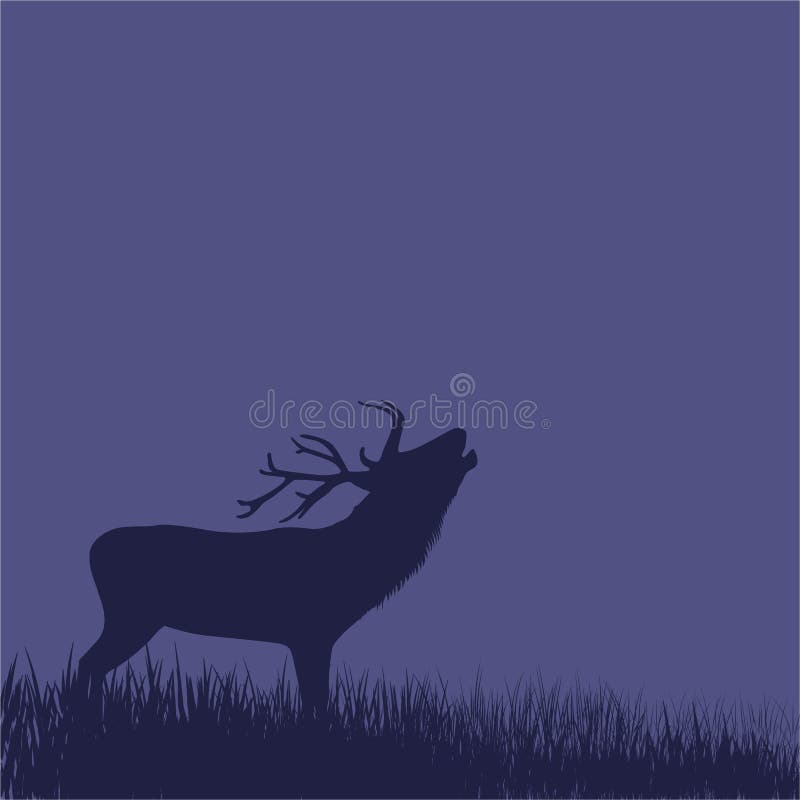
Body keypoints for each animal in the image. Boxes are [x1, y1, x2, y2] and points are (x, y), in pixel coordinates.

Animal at [79, 401, 478, 719]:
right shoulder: (310, 632)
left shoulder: (314, 636)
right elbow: (316, 701)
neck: (357, 562)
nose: (459, 431)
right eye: (413, 462)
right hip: (131, 616)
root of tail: (93, 548)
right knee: (88, 662)